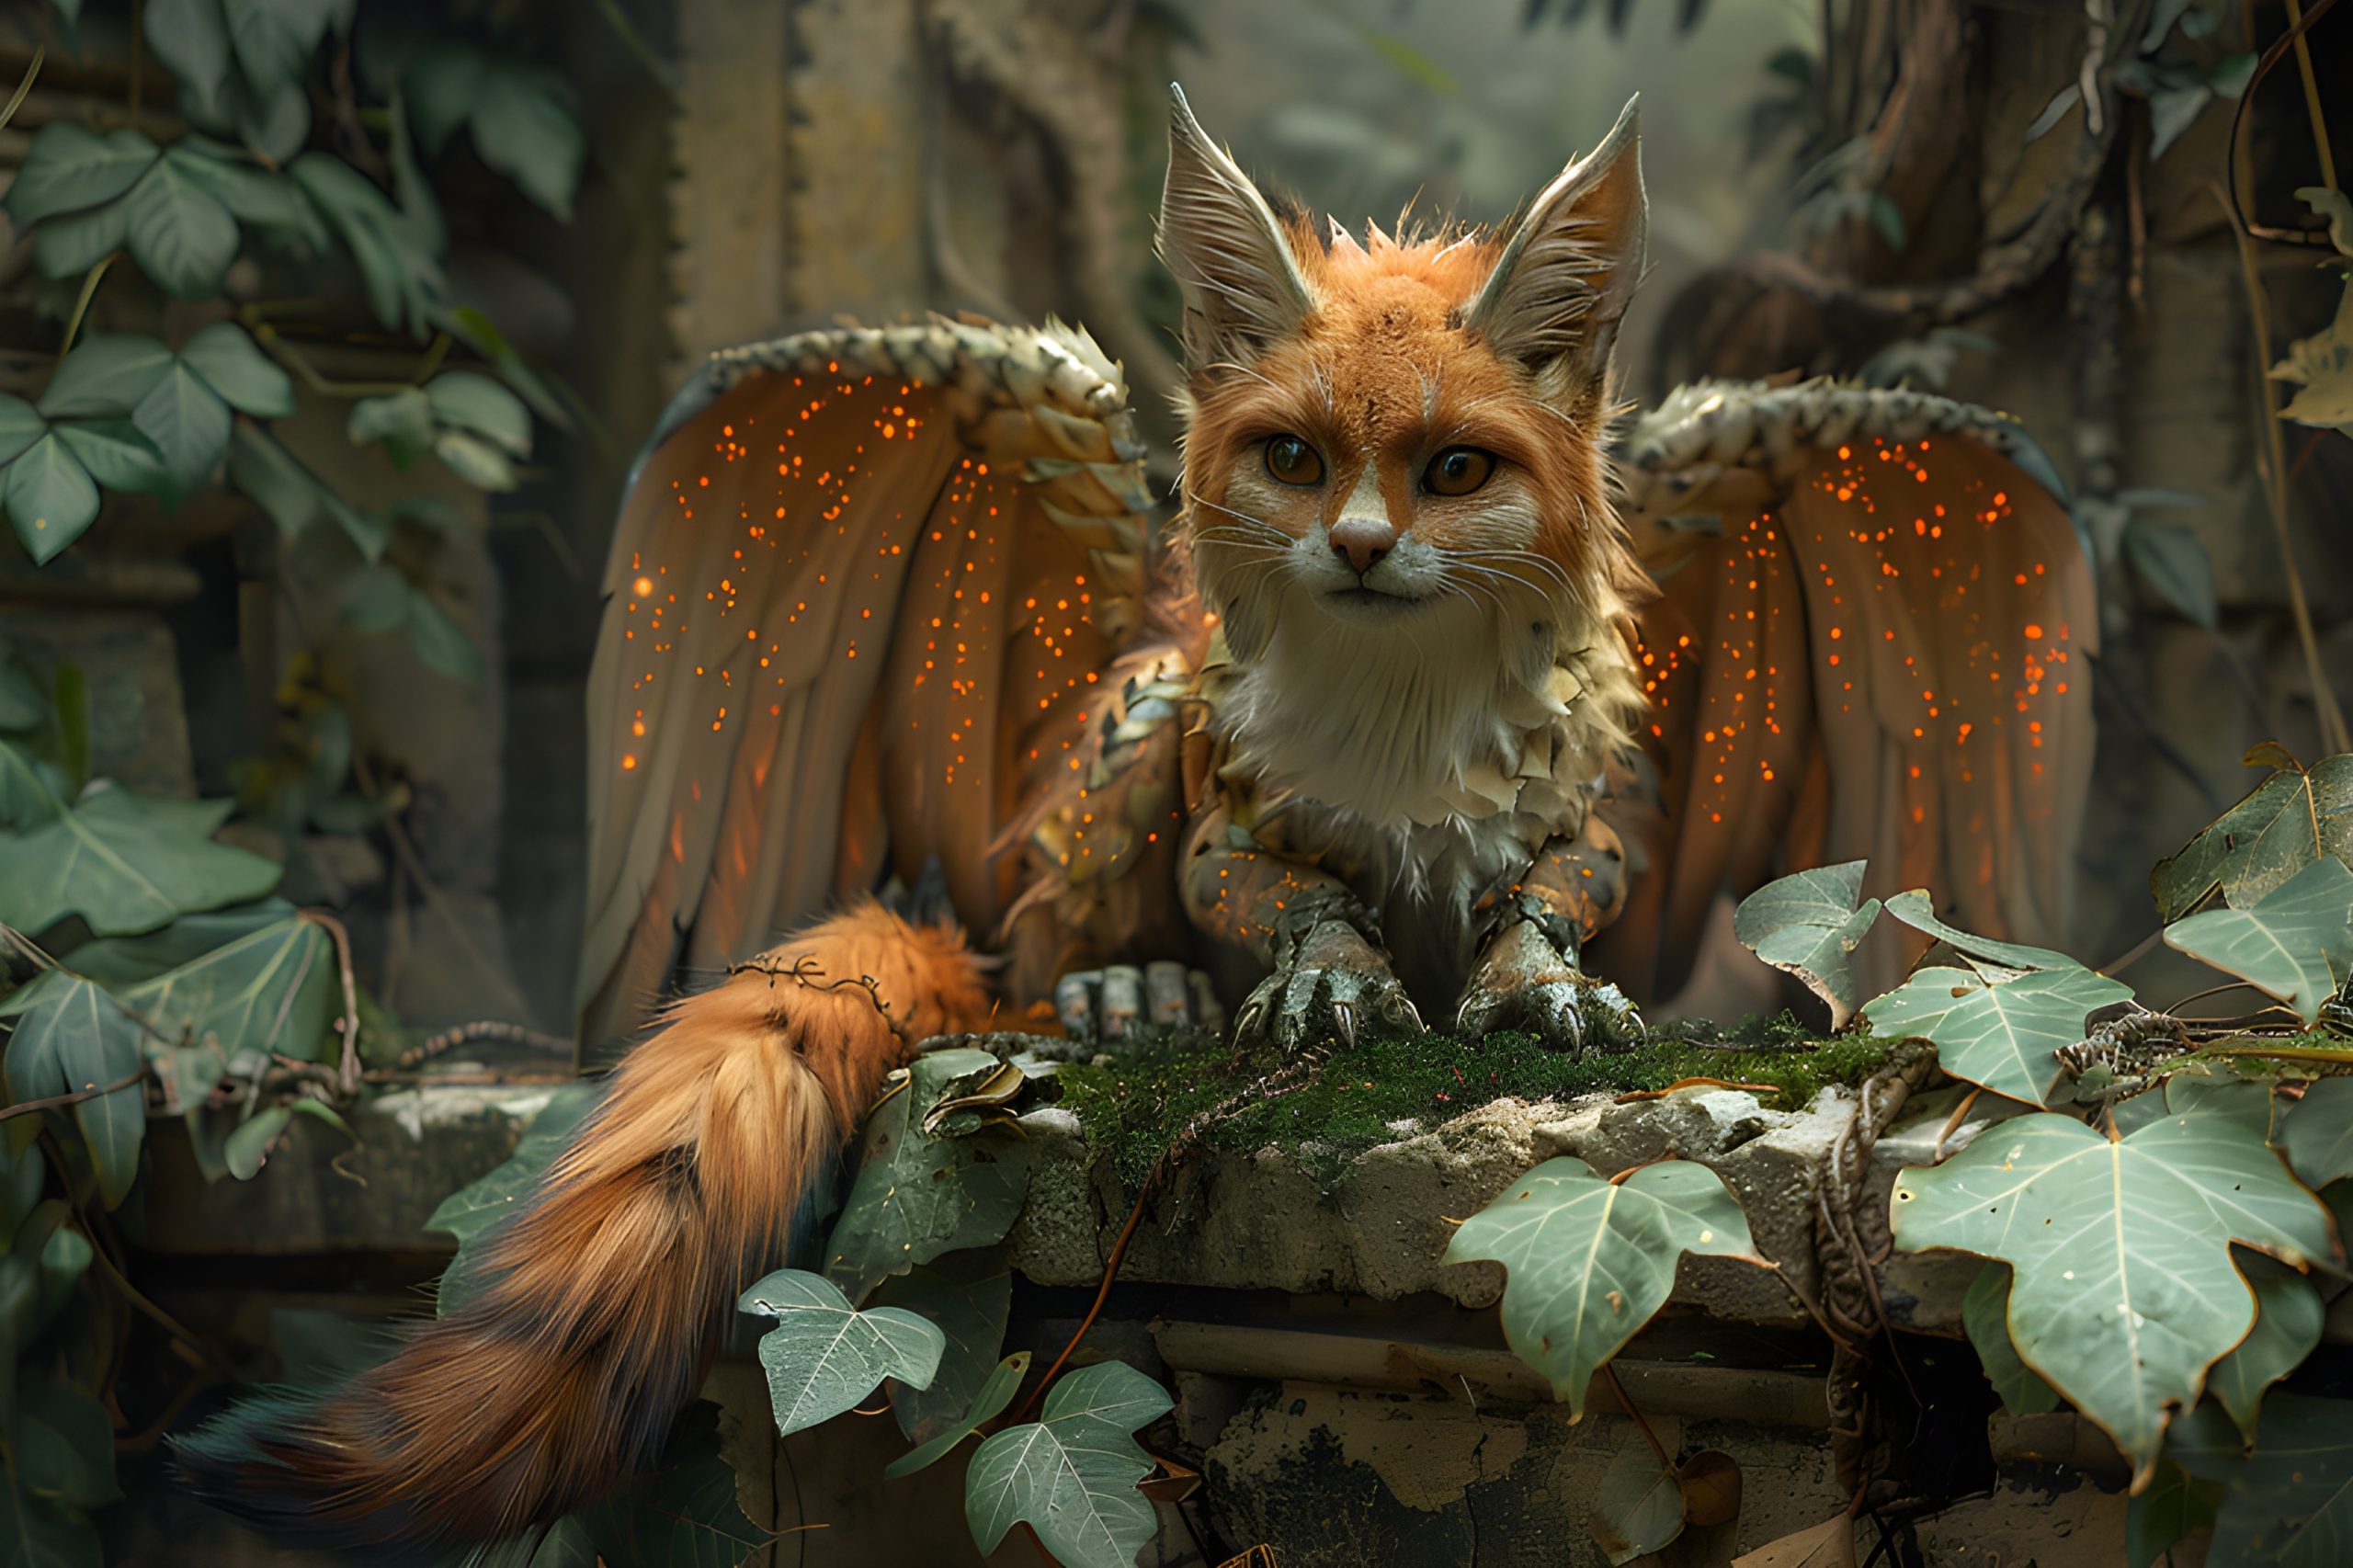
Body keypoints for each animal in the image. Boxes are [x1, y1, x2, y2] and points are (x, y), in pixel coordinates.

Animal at [178, 87, 2094, 1554]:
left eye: (1457, 471)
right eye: (1294, 459)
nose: (1362, 549)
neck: (1394, 721)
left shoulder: (1599, 798)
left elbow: (1555, 891)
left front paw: (1539, 982)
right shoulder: (1216, 803)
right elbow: (1273, 891)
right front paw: (1316, 980)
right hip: (1130, 717)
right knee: (1031, 953)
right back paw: (1131, 995)